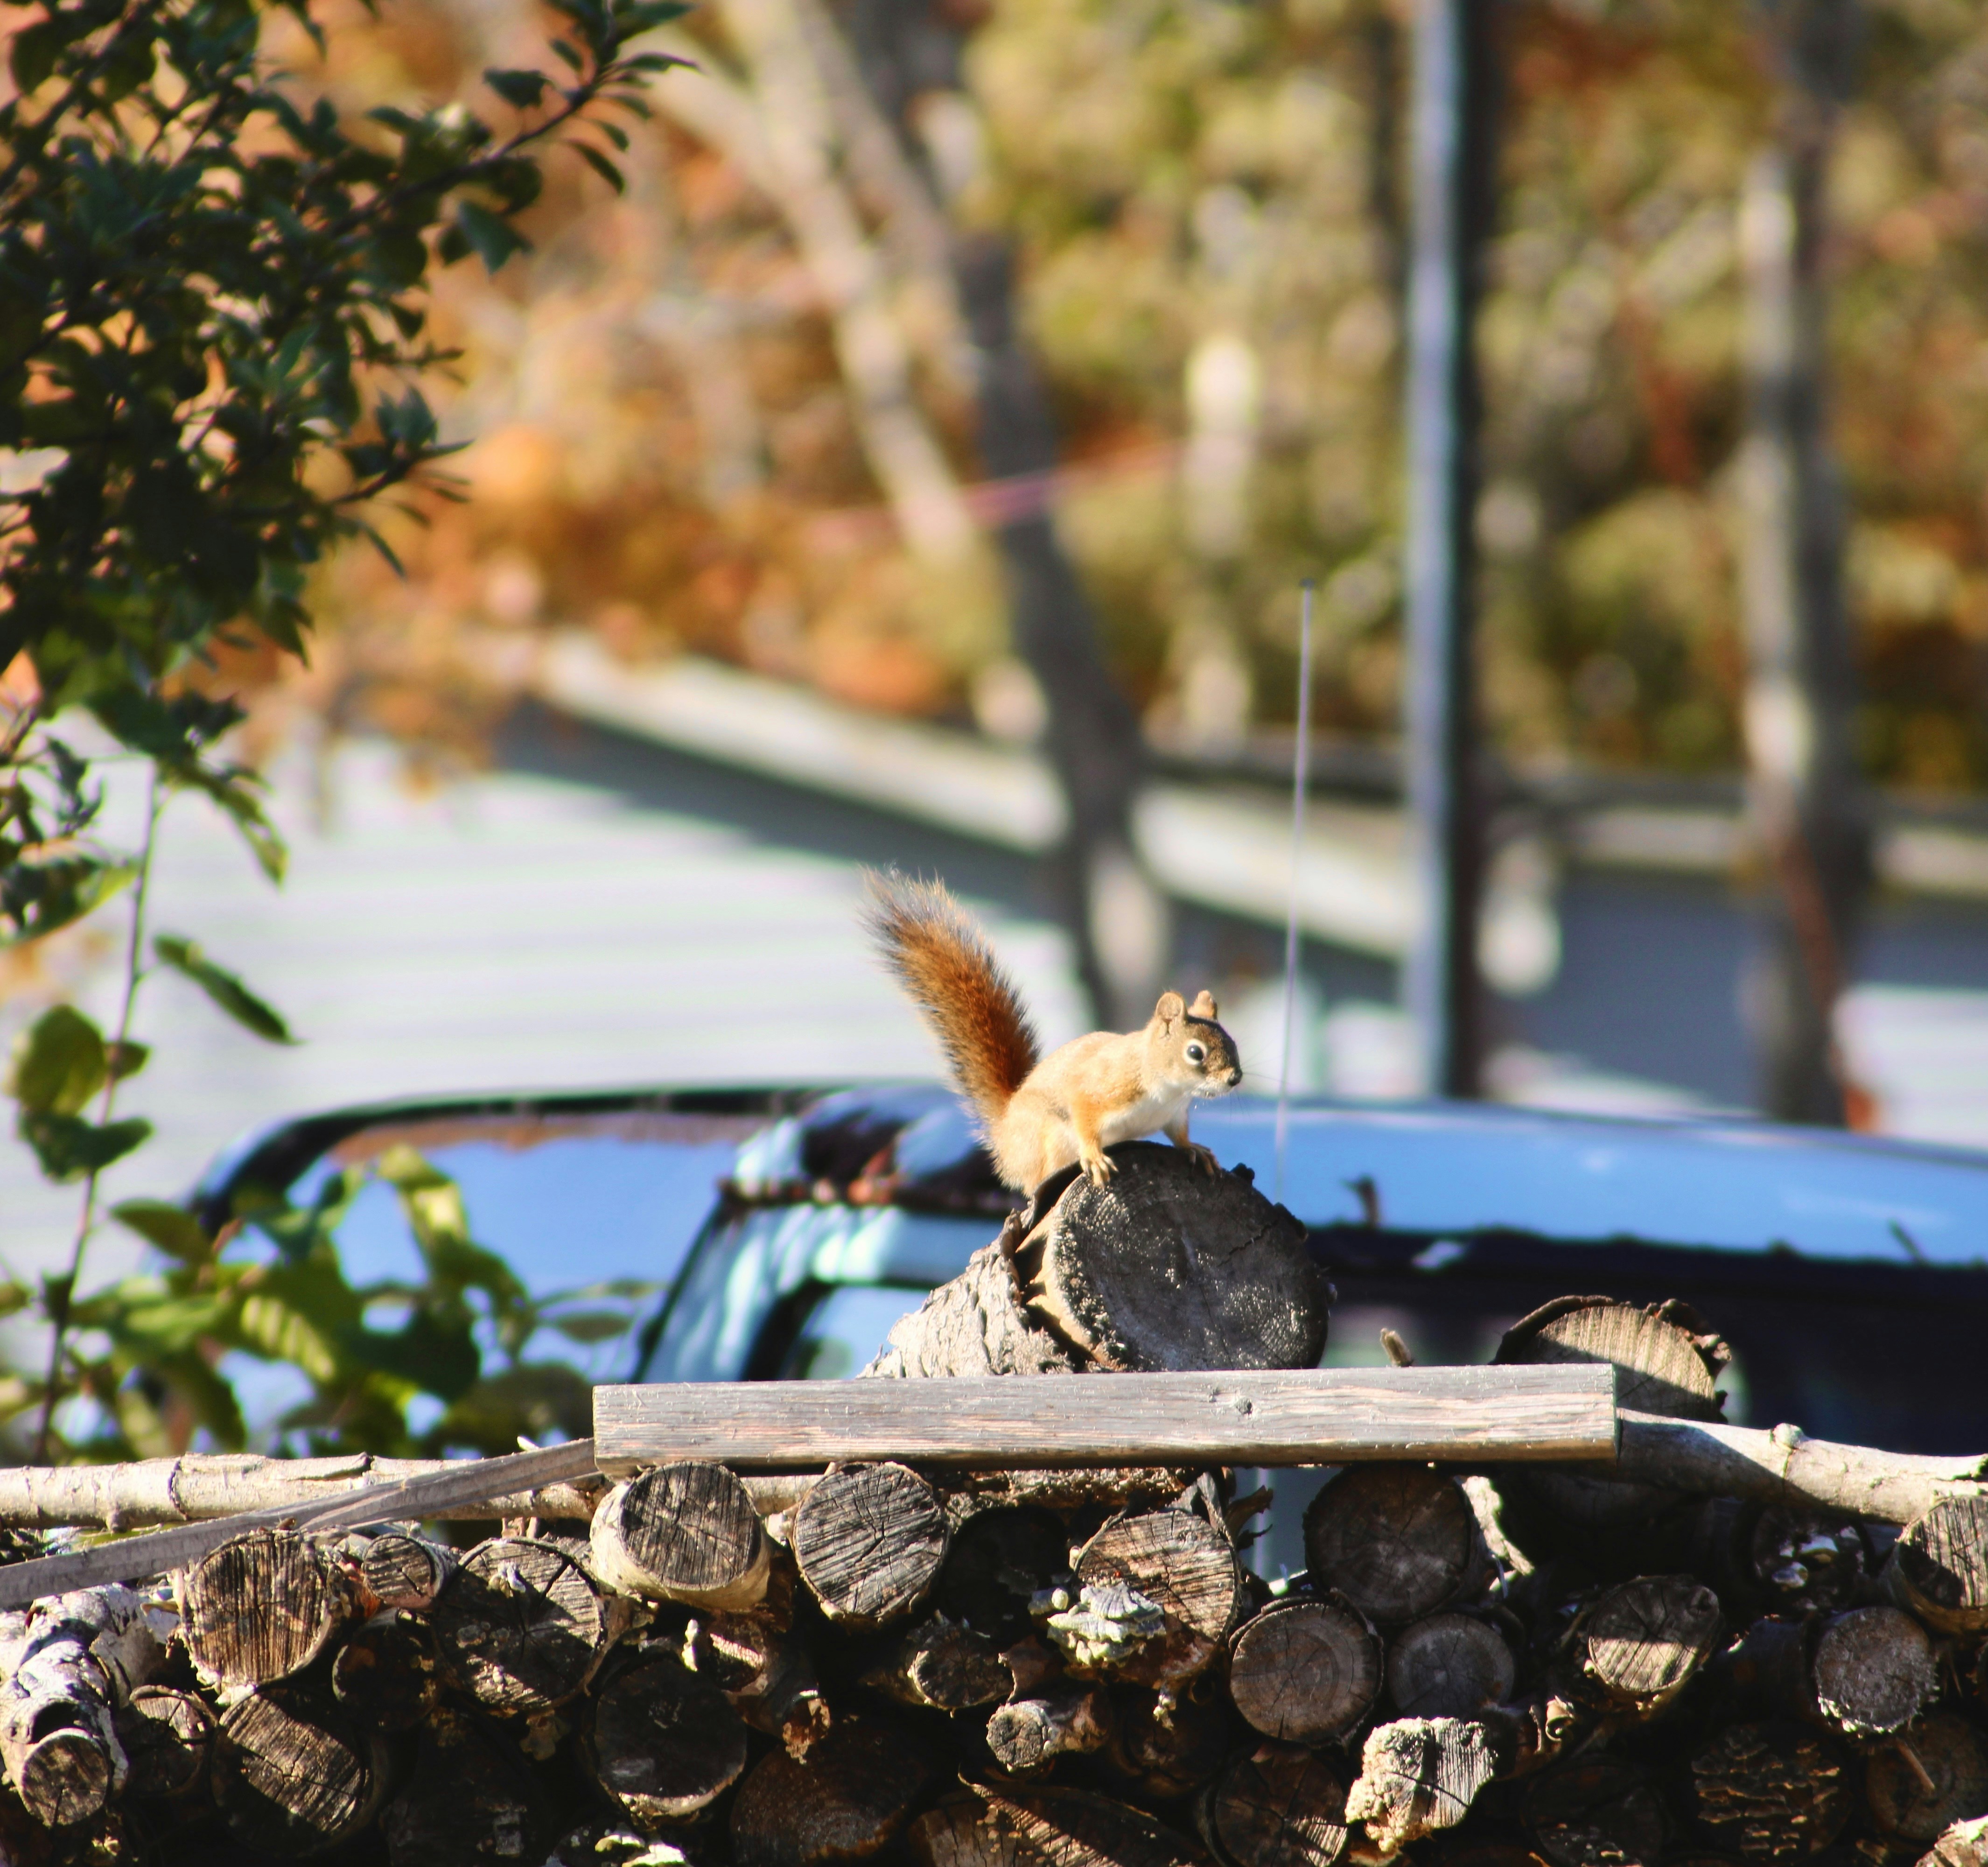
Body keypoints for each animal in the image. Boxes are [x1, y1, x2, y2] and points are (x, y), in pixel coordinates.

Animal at [863, 870, 1243, 1193]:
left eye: (1233, 1042)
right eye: (1195, 1052)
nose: (1235, 1078)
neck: (1167, 1089)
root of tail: (1005, 1139)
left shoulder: (1174, 1115)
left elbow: (1179, 1135)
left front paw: (1196, 1150)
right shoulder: (1100, 1089)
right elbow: (1085, 1117)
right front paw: (1094, 1157)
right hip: (1046, 1140)